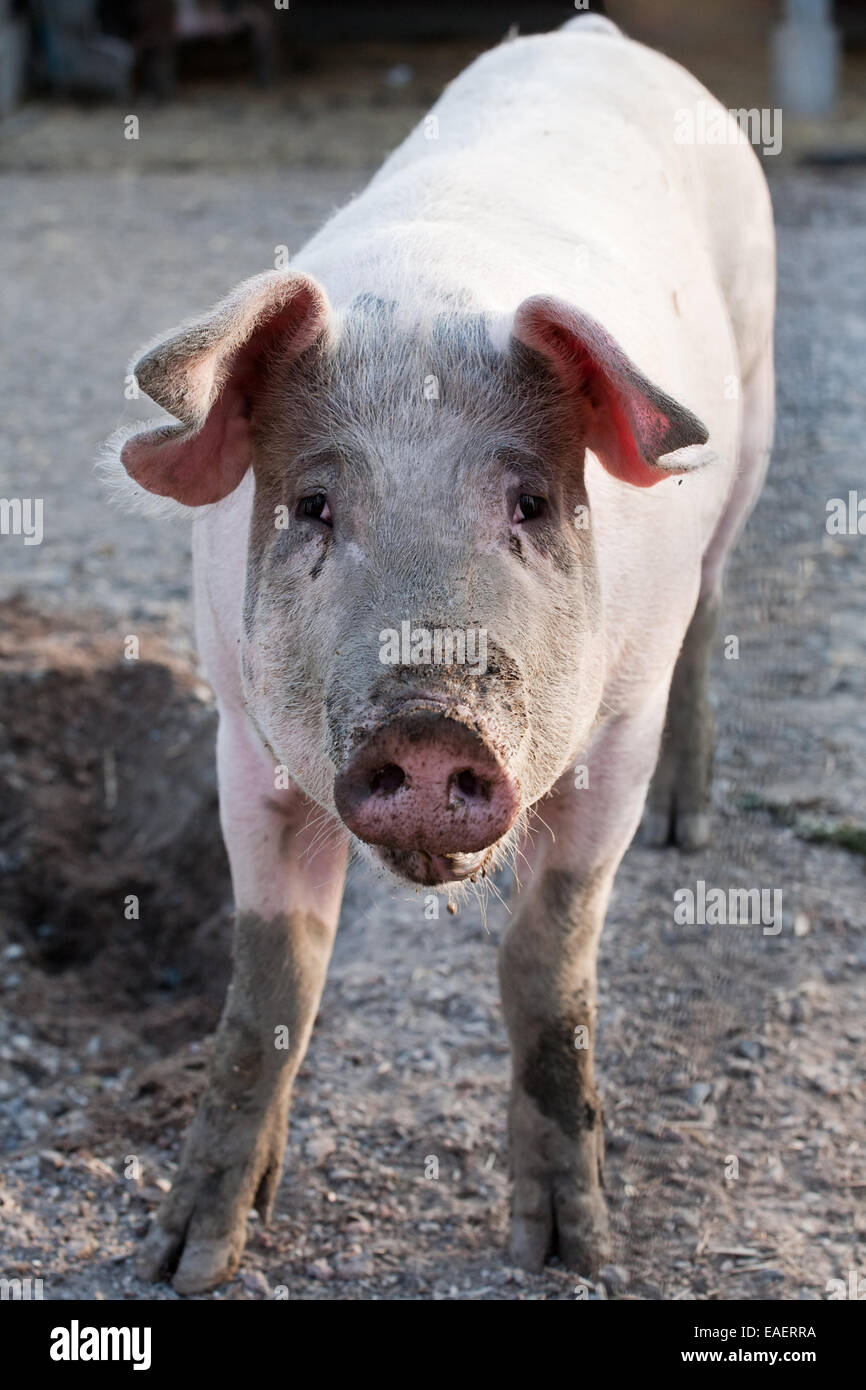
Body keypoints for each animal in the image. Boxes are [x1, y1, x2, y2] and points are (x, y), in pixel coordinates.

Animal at [104, 13, 775, 1293]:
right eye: (313, 505)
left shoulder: (612, 736)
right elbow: (270, 985)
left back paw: (688, 826)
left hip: (748, 431)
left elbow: (546, 969)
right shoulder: (239, 735)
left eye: (528, 501)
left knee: (711, 614)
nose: (427, 717)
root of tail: (596, 32)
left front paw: (569, 1251)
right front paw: (180, 1257)